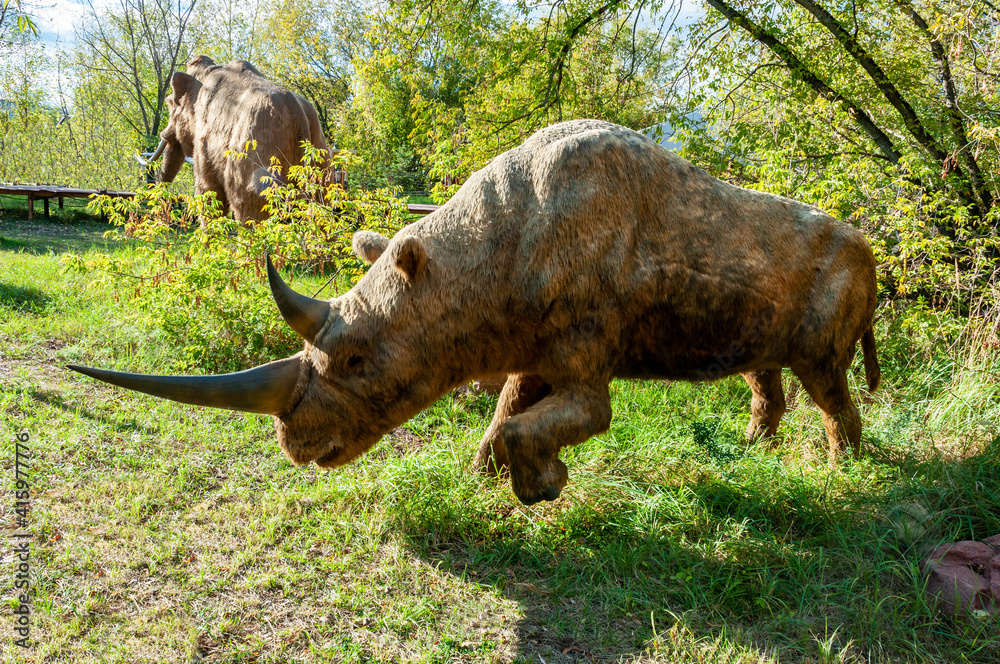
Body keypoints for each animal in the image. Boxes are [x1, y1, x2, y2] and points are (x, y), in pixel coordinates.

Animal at [69, 120, 880, 506]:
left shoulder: (579, 347)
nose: (296, 449)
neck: (474, 266)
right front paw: (486, 474)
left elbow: (563, 415)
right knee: (765, 364)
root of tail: (873, 247)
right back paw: (757, 451)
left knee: (823, 374)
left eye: (360, 359)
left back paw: (847, 472)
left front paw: (539, 488)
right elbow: (507, 410)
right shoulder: (525, 337)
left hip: (841, 270)